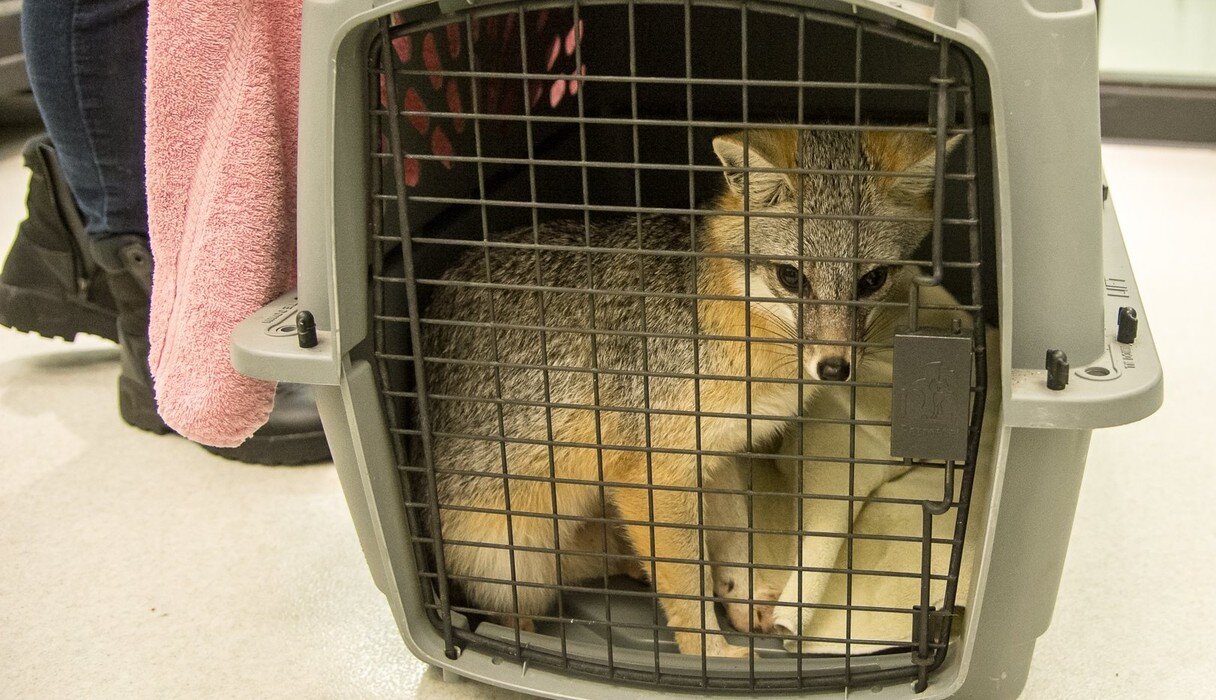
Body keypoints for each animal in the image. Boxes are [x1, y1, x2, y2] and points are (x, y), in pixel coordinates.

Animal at [417, 125, 957, 657]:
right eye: (791, 277)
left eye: (871, 280)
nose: (835, 368)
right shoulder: (657, 474)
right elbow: (686, 583)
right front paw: (712, 655)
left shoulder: (717, 455)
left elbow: (736, 536)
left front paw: (746, 602)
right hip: (508, 558)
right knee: (515, 606)